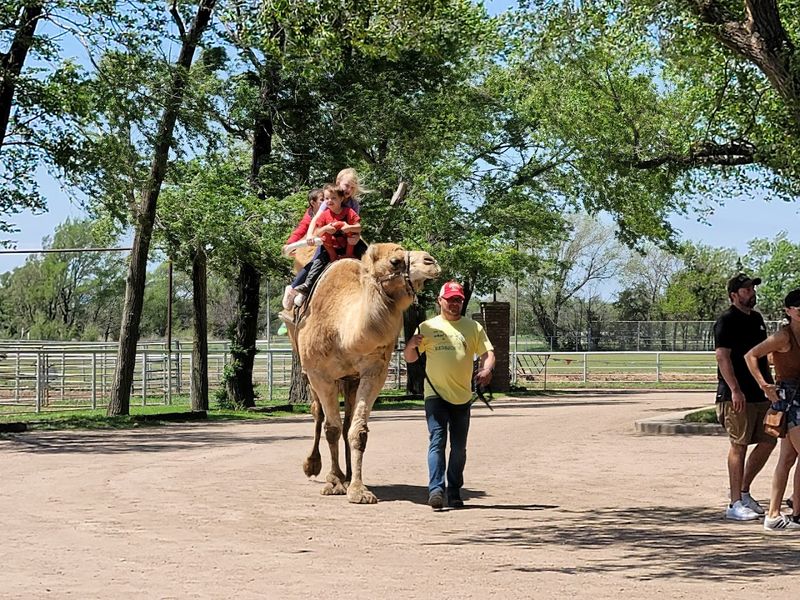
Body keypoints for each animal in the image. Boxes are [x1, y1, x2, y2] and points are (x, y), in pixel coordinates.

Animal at [281, 243, 440, 503]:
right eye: (395, 261)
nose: (431, 261)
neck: (343, 331)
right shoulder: (320, 374)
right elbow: (331, 428)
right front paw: (333, 482)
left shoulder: (373, 371)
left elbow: (358, 431)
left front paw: (358, 489)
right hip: (307, 370)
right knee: (318, 413)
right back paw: (315, 466)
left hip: (350, 379)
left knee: (346, 421)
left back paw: (347, 476)